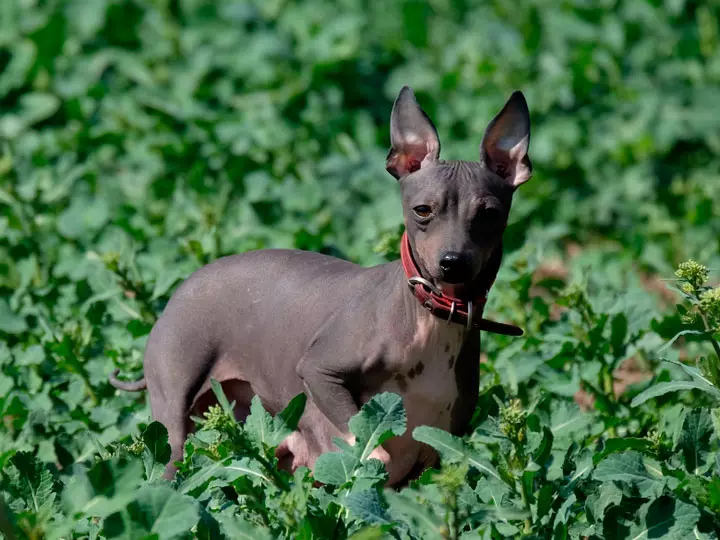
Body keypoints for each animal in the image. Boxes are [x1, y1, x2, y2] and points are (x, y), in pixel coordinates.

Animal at [111, 87, 528, 486]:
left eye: (488, 214)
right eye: (423, 211)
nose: (453, 262)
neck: (430, 318)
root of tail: (178, 291)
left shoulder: (436, 454)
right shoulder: (320, 372)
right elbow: (370, 447)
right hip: (174, 417)